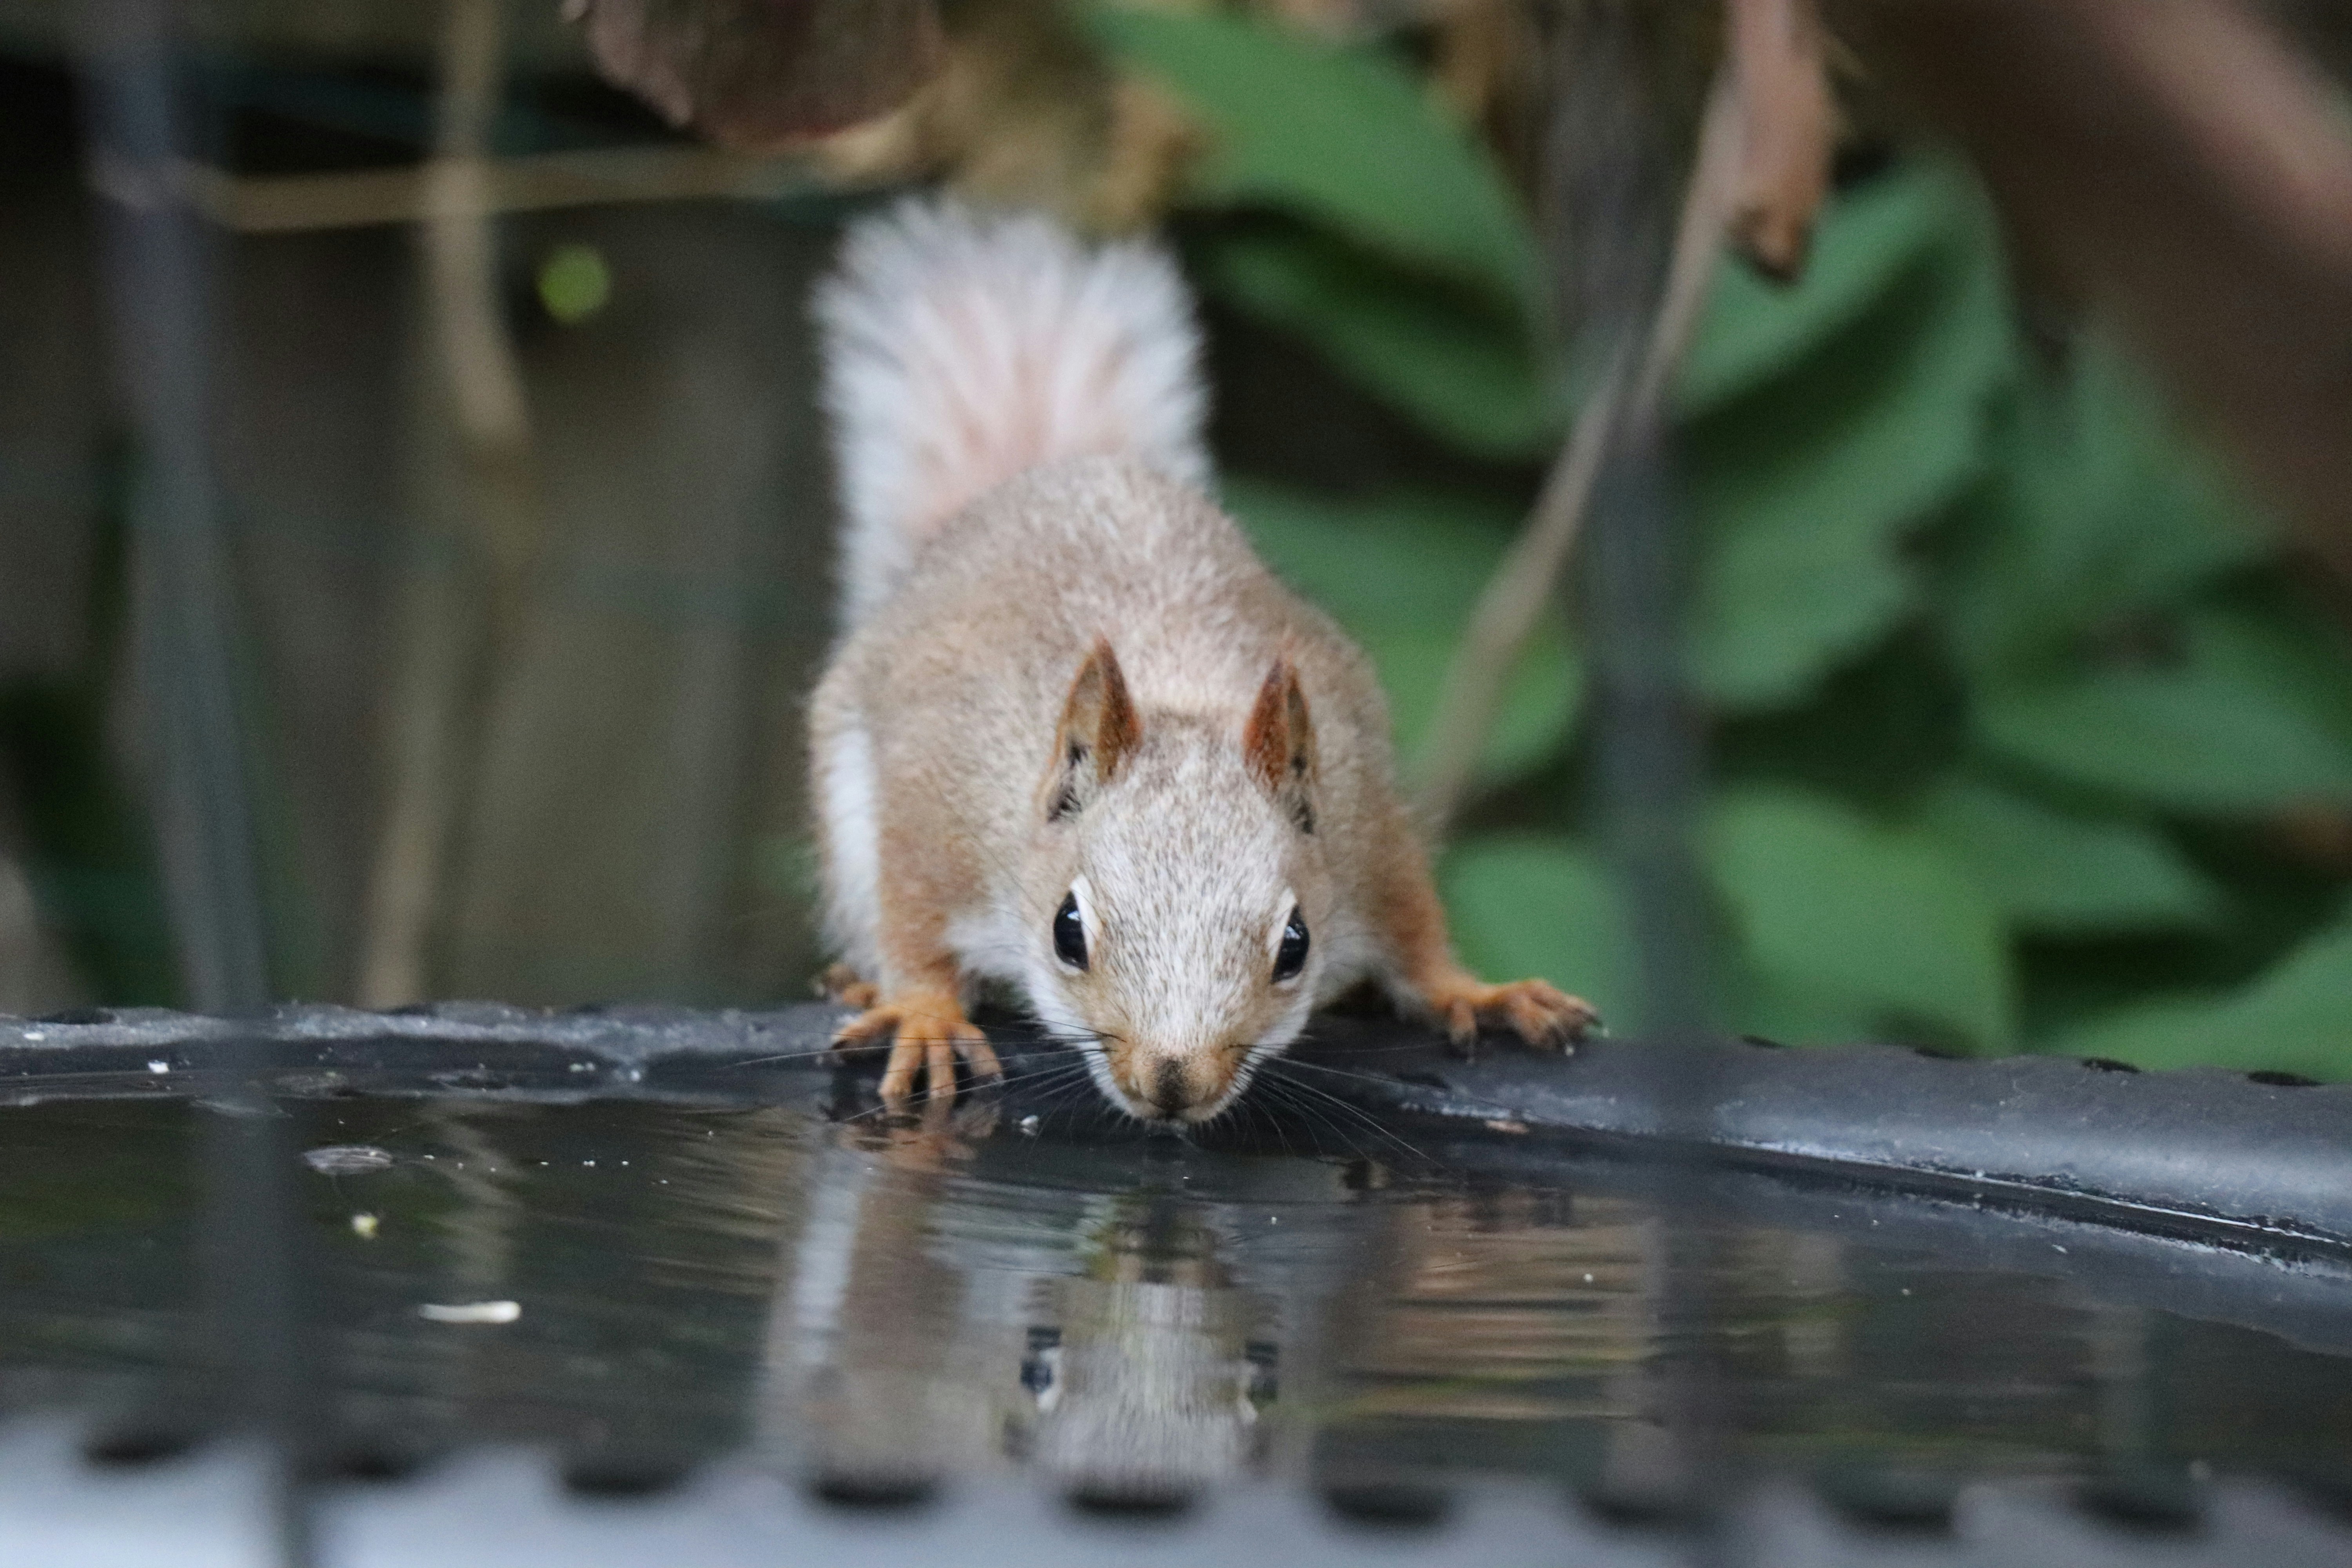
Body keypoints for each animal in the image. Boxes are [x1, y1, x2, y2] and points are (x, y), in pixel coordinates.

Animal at [809, 199, 1596, 1123]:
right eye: (1066, 931)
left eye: (1296, 943)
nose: (1174, 1082)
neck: (1181, 696)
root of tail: (1050, 476)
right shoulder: (938, 803)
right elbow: (913, 918)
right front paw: (926, 1011)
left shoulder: (1362, 824)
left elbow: (1414, 928)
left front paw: (1471, 990)